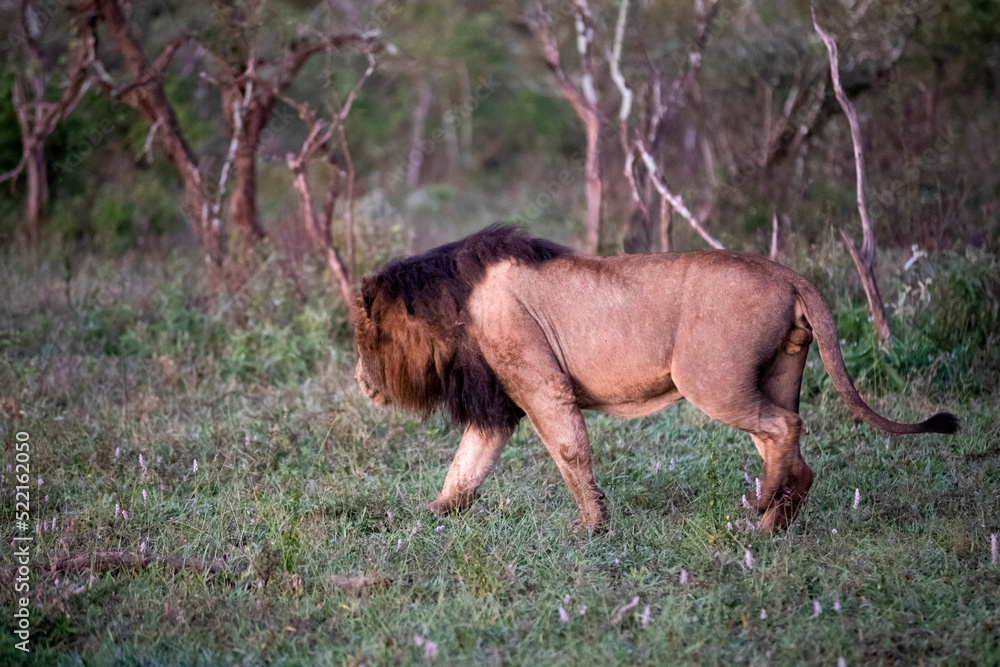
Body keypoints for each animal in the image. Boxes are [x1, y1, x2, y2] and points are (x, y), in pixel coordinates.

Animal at [354, 225, 958, 530]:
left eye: (362, 337)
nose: (360, 382)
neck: (452, 302)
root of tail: (787, 273)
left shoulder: (537, 381)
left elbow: (569, 450)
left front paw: (592, 527)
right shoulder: (498, 403)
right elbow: (466, 465)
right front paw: (431, 515)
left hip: (711, 380)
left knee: (784, 428)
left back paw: (760, 508)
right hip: (777, 374)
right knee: (794, 453)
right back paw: (769, 527)